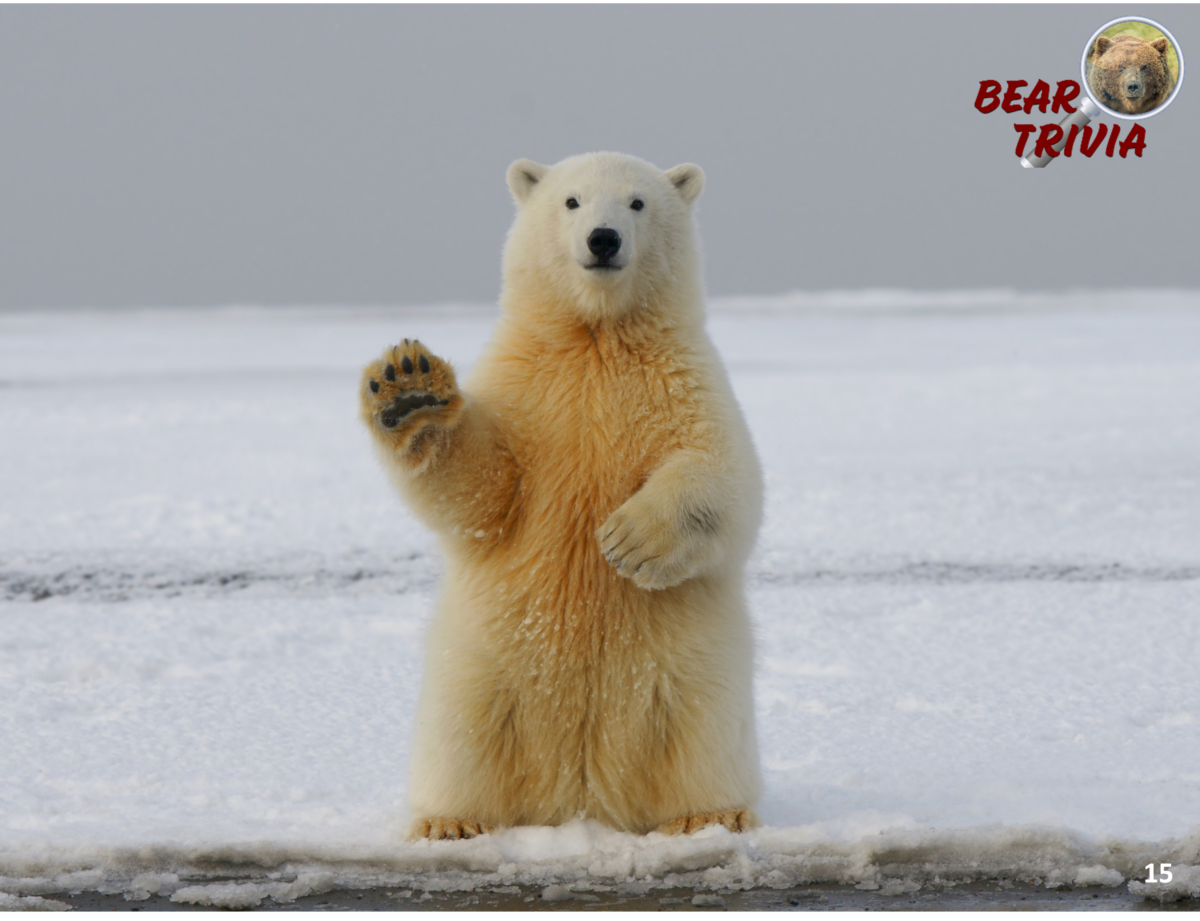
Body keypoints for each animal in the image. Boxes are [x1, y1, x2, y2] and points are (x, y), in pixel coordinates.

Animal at [358, 152, 763, 840]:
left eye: (637, 203)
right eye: (571, 201)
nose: (603, 240)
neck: (595, 337)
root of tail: (581, 797)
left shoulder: (684, 381)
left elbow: (725, 475)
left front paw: (628, 541)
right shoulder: (527, 388)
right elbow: (484, 491)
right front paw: (409, 388)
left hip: (692, 672)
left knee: (701, 734)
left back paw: (710, 815)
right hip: (482, 668)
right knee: (463, 736)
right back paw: (450, 822)